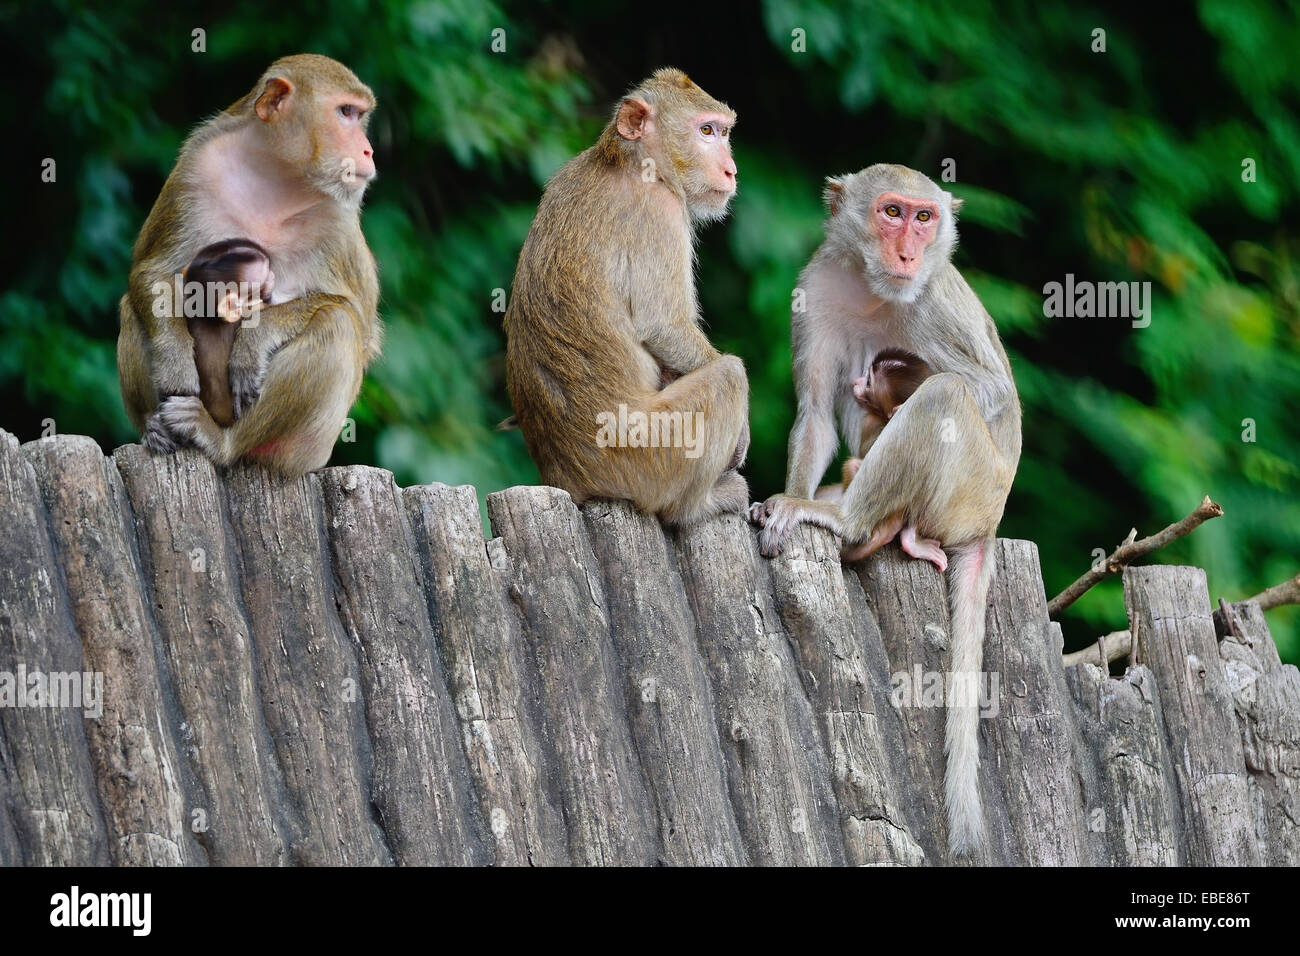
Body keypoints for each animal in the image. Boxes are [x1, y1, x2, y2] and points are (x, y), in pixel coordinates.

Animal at [504, 68, 749, 526]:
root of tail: (567, 478)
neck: (626, 161)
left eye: (723, 132)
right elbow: (664, 327)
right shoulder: (660, 212)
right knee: (729, 376)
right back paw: (698, 505)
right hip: (648, 454)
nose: (731, 170)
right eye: (706, 131)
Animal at [749, 164, 1021, 857]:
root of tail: (991, 523)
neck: (873, 288)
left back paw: (851, 524)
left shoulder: (933, 302)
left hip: (971, 486)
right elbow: (816, 414)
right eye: (892, 212)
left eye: (925, 218)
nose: (908, 254)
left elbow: (989, 391)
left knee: (946, 396)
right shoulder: (813, 289)